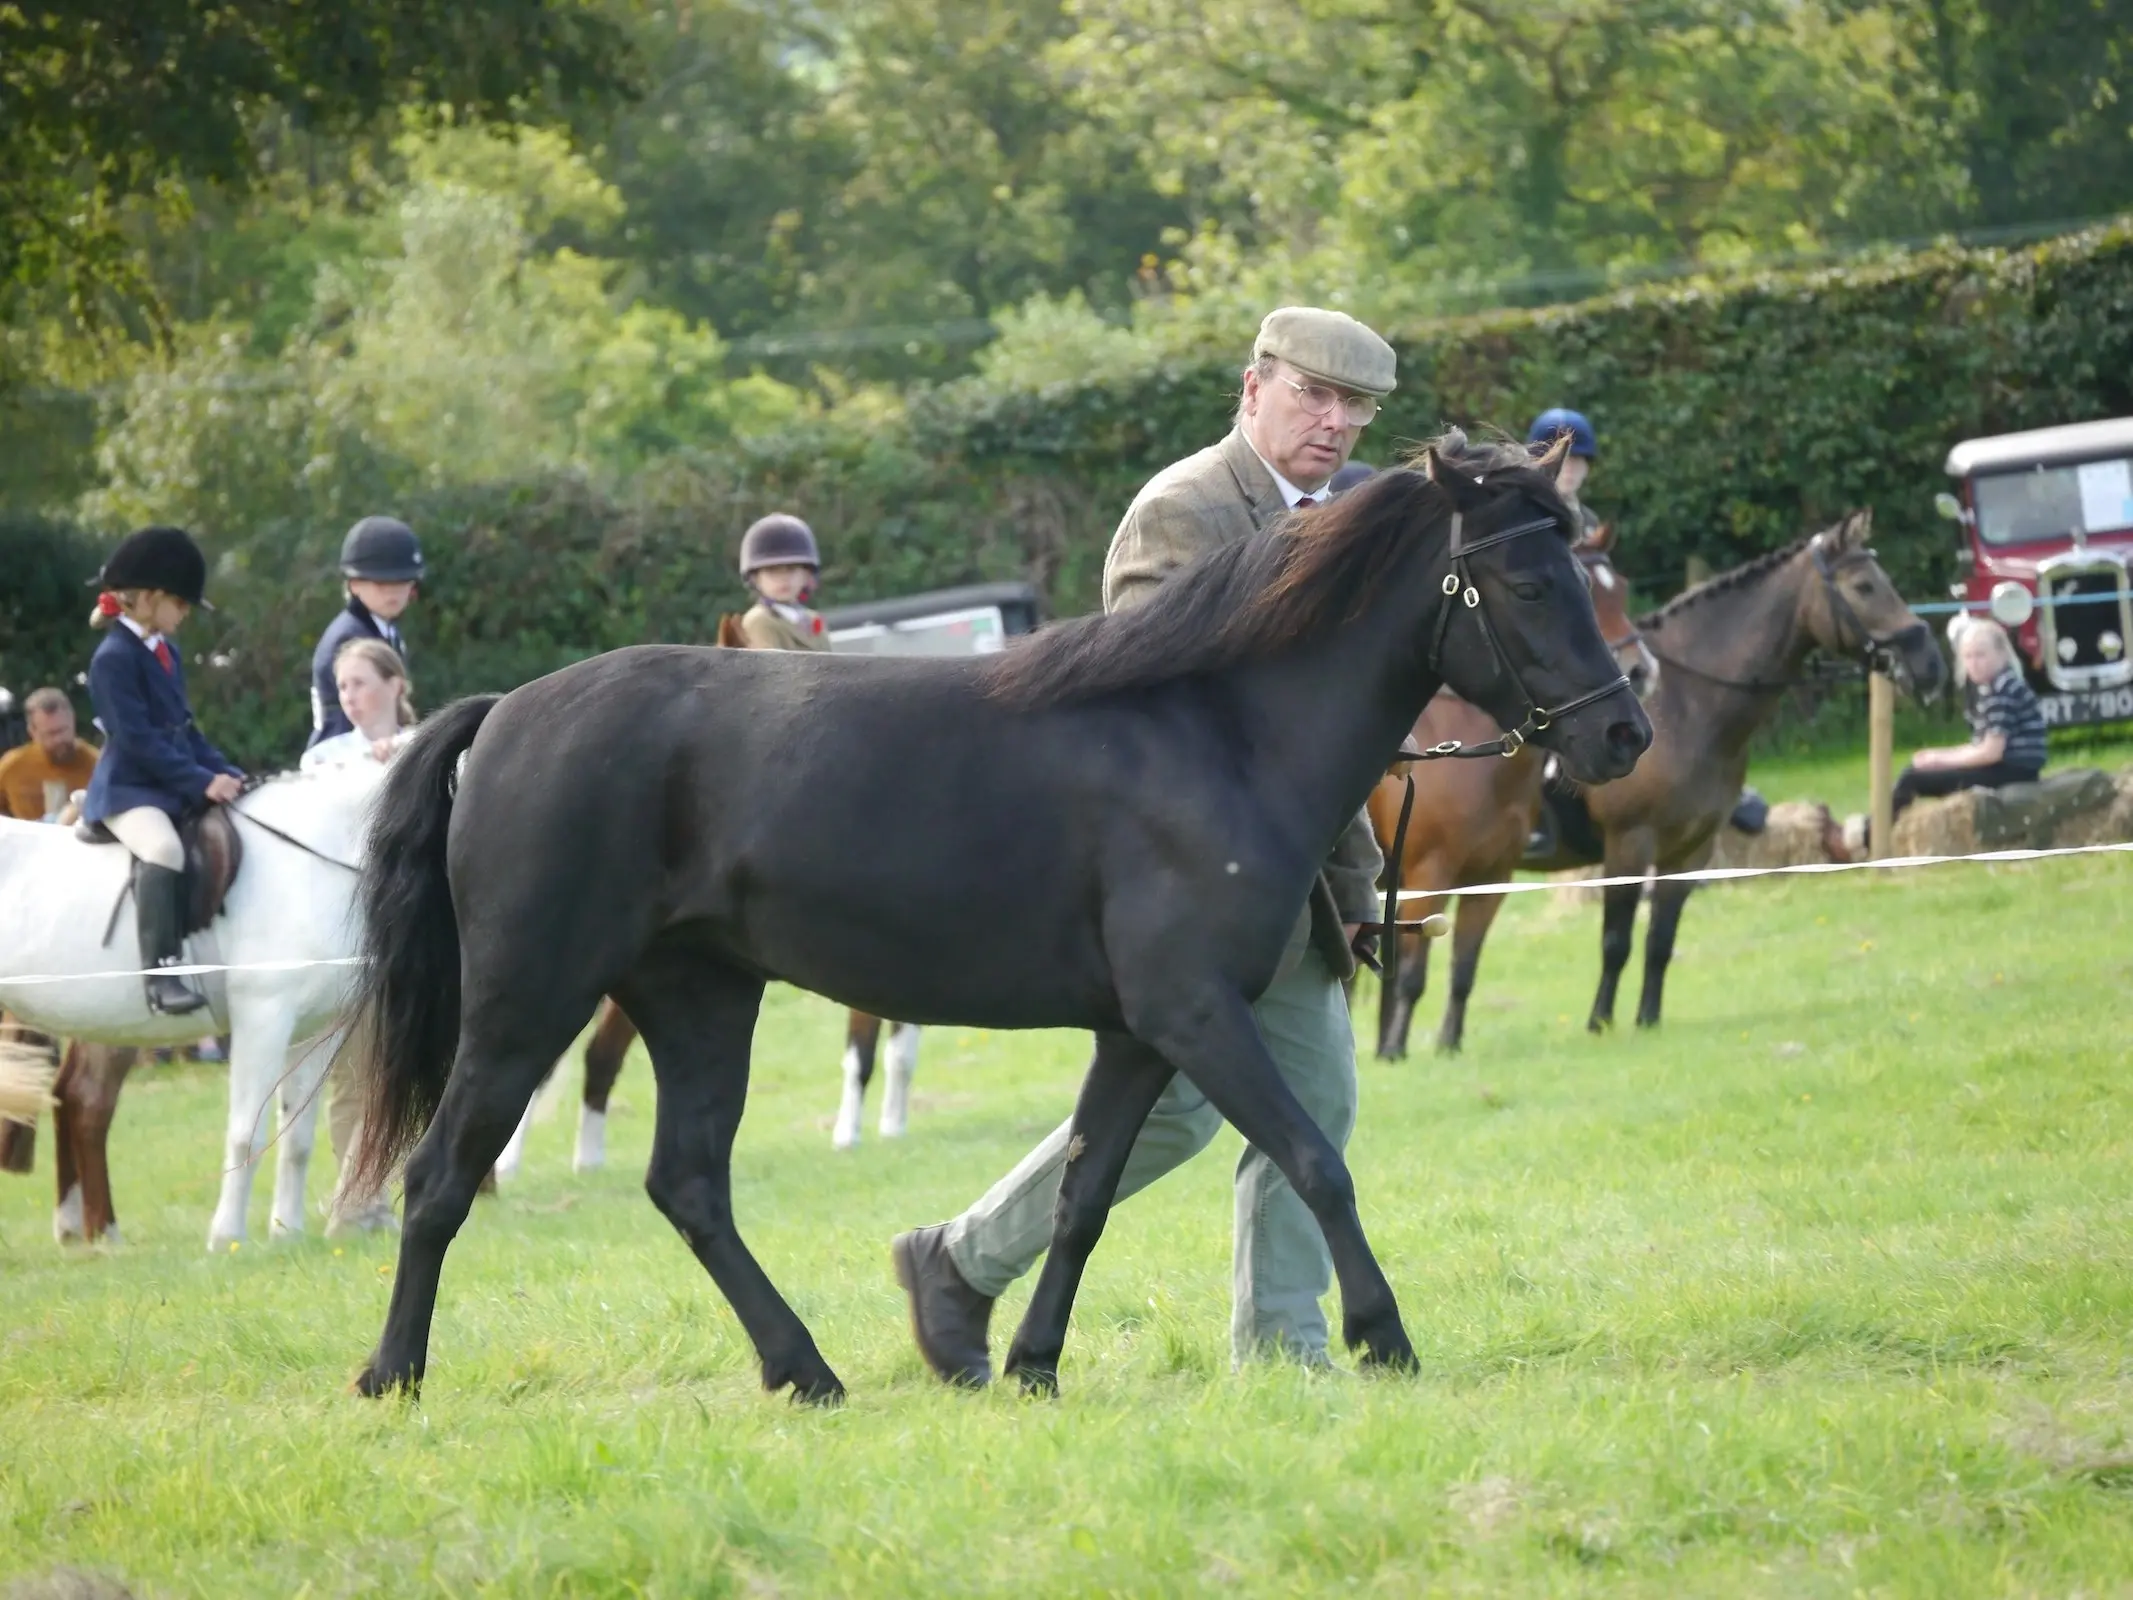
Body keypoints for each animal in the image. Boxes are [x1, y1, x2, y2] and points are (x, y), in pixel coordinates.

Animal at [0, 765, 379, 1248]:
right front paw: (227, 1237)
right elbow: (246, 1132)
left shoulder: (314, 1030)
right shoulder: (263, 1017)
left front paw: (286, 1234)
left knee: (78, 1097)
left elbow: (297, 1139)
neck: (317, 851)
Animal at [1368, 532, 1656, 1057]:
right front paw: (1397, 1050)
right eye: (1530, 593)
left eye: (1619, 587)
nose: (1642, 672)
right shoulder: (1429, 877)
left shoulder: (1492, 879)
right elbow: (1413, 975)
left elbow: (1463, 969)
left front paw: (1447, 1046)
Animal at [1534, 510, 1945, 1031]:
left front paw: (1647, 1020)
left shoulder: (1689, 849)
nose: (1930, 663)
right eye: (1864, 586)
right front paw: (1600, 1024)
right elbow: (1616, 942)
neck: (1684, 705)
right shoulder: (1628, 843)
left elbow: (1660, 942)